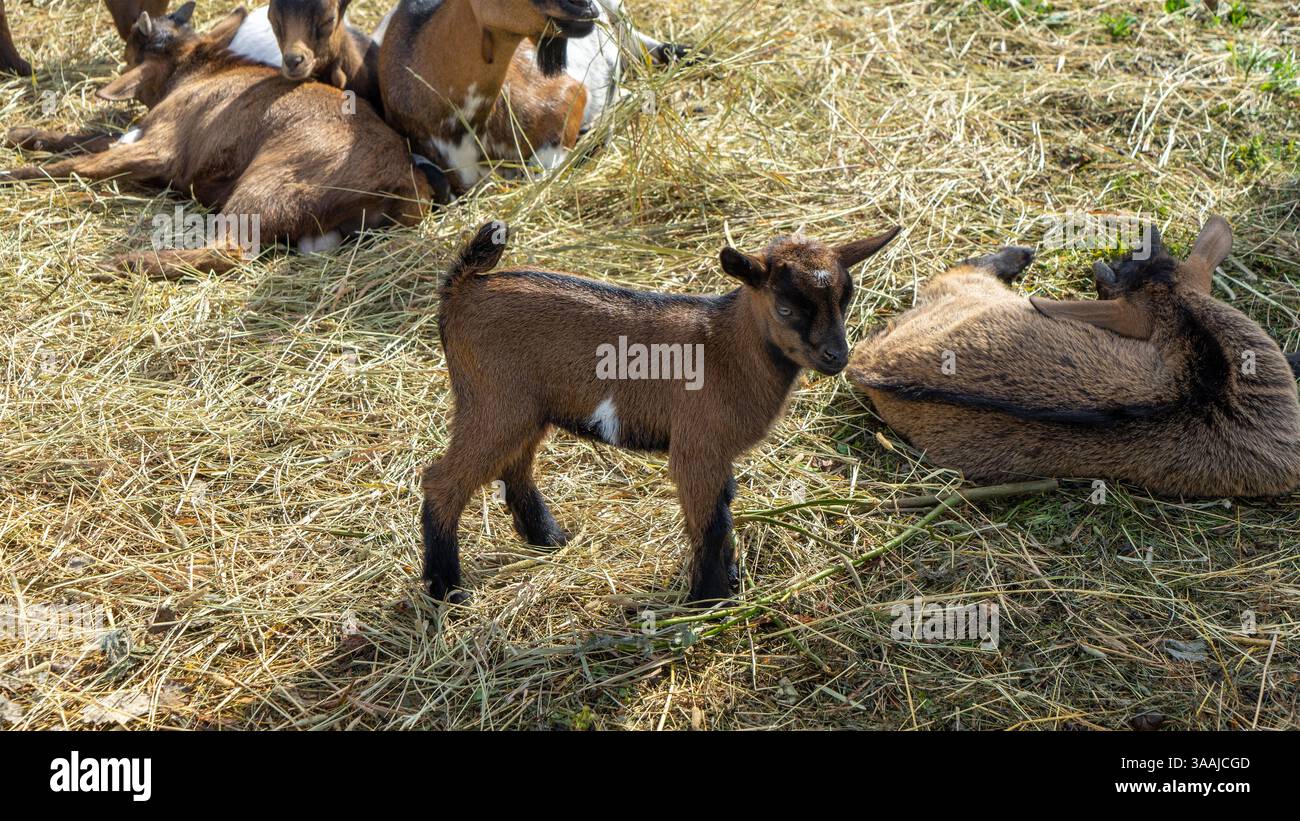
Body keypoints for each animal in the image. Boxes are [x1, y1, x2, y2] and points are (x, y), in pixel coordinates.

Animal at [2, 5, 432, 275]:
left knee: (230, 250)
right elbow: (91, 139)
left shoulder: (162, 147)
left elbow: (81, 164)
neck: (196, 68)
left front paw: (12, 173)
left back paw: (123, 263)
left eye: (130, 51)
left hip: (269, 183)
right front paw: (23, 134)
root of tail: (405, 179)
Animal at [422, 220, 899, 604]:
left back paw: (549, 539)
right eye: (786, 309)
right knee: (443, 480)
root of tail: (462, 287)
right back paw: (446, 588)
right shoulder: (697, 447)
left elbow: (723, 508)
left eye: (846, 300)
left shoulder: (717, 452)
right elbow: (709, 521)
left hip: (524, 410)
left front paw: (729, 579)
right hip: (493, 402)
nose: (837, 357)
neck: (727, 348)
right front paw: (709, 599)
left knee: (514, 467)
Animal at [846, 216, 1300, 498]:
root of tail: (867, 366)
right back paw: (1017, 256)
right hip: (970, 288)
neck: (1206, 376)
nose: (1140, 239)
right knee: (957, 271)